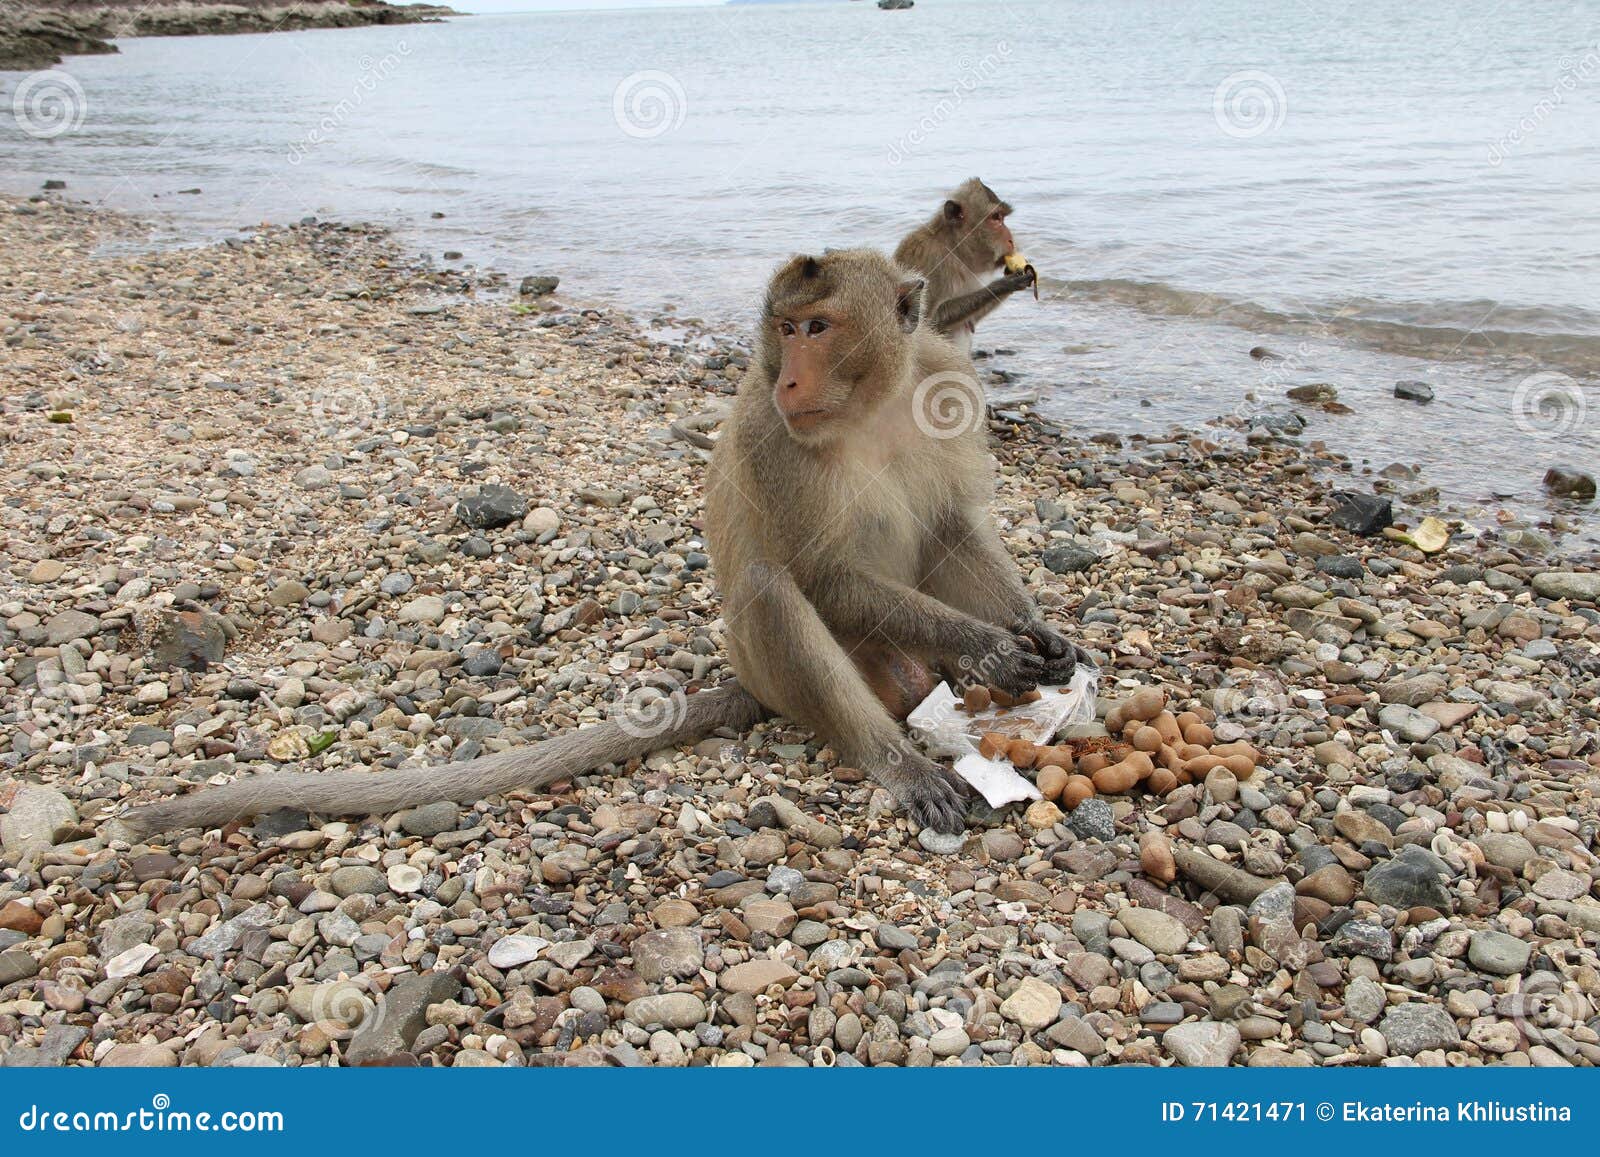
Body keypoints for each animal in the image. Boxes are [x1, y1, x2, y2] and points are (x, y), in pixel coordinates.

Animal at [117, 249, 1080, 839]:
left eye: (818, 325)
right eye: (786, 328)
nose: (789, 377)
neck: (872, 404)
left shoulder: (944, 380)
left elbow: (955, 529)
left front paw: (1038, 634)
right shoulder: (773, 436)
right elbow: (823, 574)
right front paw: (992, 644)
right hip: (801, 671)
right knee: (772, 591)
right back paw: (892, 758)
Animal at [893, 177, 1035, 354]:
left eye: (1002, 217)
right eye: (996, 218)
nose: (1011, 240)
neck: (953, 249)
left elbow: (970, 320)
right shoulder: (929, 258)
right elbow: (927, 323)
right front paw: (1004, 284)